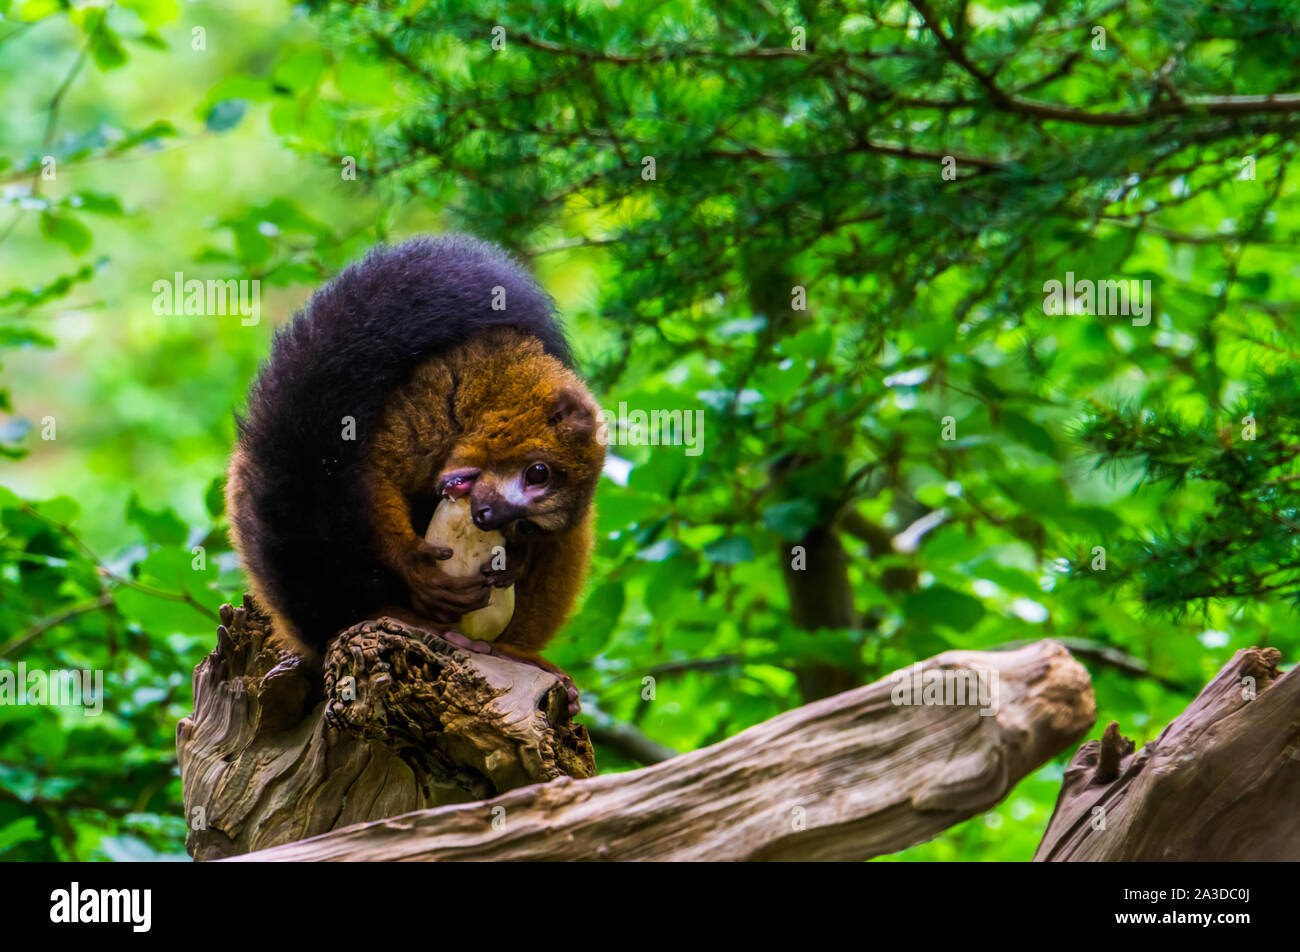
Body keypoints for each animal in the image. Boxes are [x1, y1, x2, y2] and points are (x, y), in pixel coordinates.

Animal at [223, 235, 606, 711]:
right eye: (538, 473)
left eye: (527, 525)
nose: (493, 518)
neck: (486, 396)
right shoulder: (435, 396)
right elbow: (376, 471)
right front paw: (413, 565)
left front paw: (516, 559)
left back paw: (510, 652)